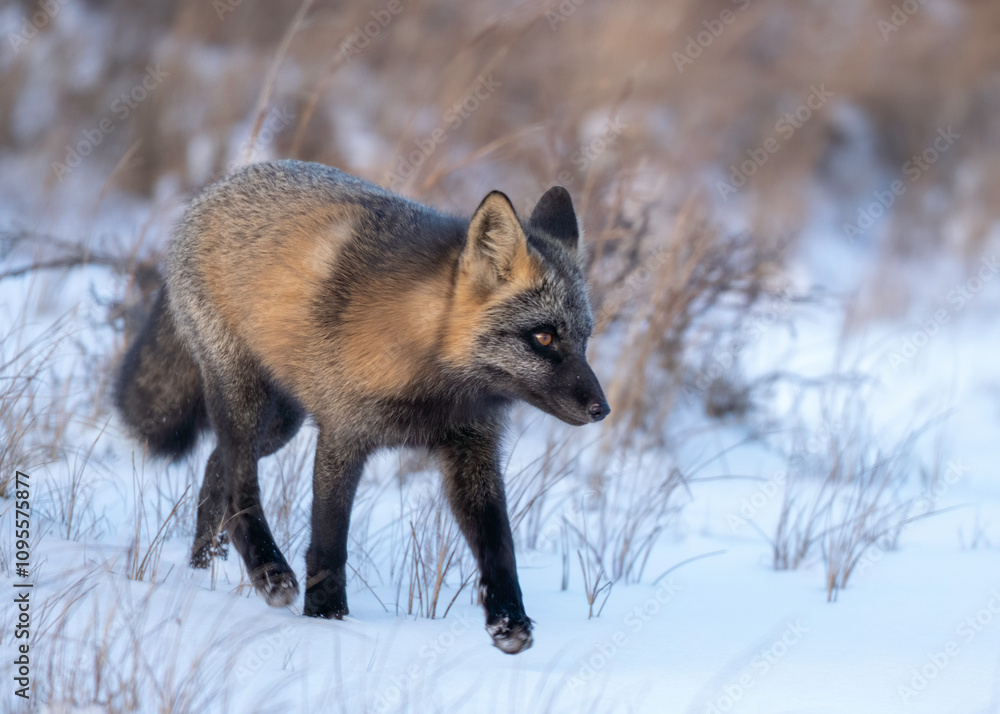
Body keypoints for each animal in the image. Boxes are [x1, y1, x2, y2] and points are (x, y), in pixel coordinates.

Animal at [114, 159, 609, 654]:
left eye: (585, 339)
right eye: (543, 337)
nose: (601, 409)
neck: (431, 383)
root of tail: (220, 184)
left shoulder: (473, 450)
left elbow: (499, 546)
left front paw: (508, 619)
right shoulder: (342, 435)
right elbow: (329, 542)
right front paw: (327, 619)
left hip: (281, 423)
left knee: (216, 466)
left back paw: (204, 567)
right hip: (246, 400)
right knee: (238, 486)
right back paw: (267, 572)